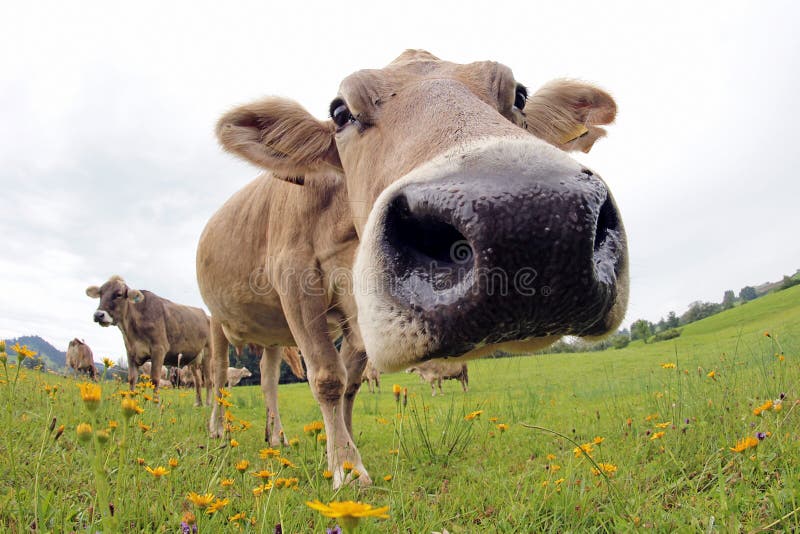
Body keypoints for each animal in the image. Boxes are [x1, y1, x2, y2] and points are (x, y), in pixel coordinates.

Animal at [86, 276, 212, 406]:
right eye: (100, 293)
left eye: (118, 294)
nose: (98, 315)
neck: (132, 333)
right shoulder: (131, 352)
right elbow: (132, 379)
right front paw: (130, 402)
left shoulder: (159, 349)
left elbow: (155, 379)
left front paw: (155, 404)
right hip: (193, 359)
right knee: (198, 381)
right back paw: (198, 403)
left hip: (208, 353)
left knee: (209, 381)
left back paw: (208, 403)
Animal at [197, 50, 628, 488]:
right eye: (340, 112)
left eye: (520, 96)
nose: (528, 218)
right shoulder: (295, 281)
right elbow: (328, 378)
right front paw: (347, 470)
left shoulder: (360, 312)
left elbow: (352, 382)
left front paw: (344, 451)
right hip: (214, 318)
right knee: (217, 373)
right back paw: (218, 431)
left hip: (269, 336)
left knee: (267, 378)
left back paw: (276, 435)